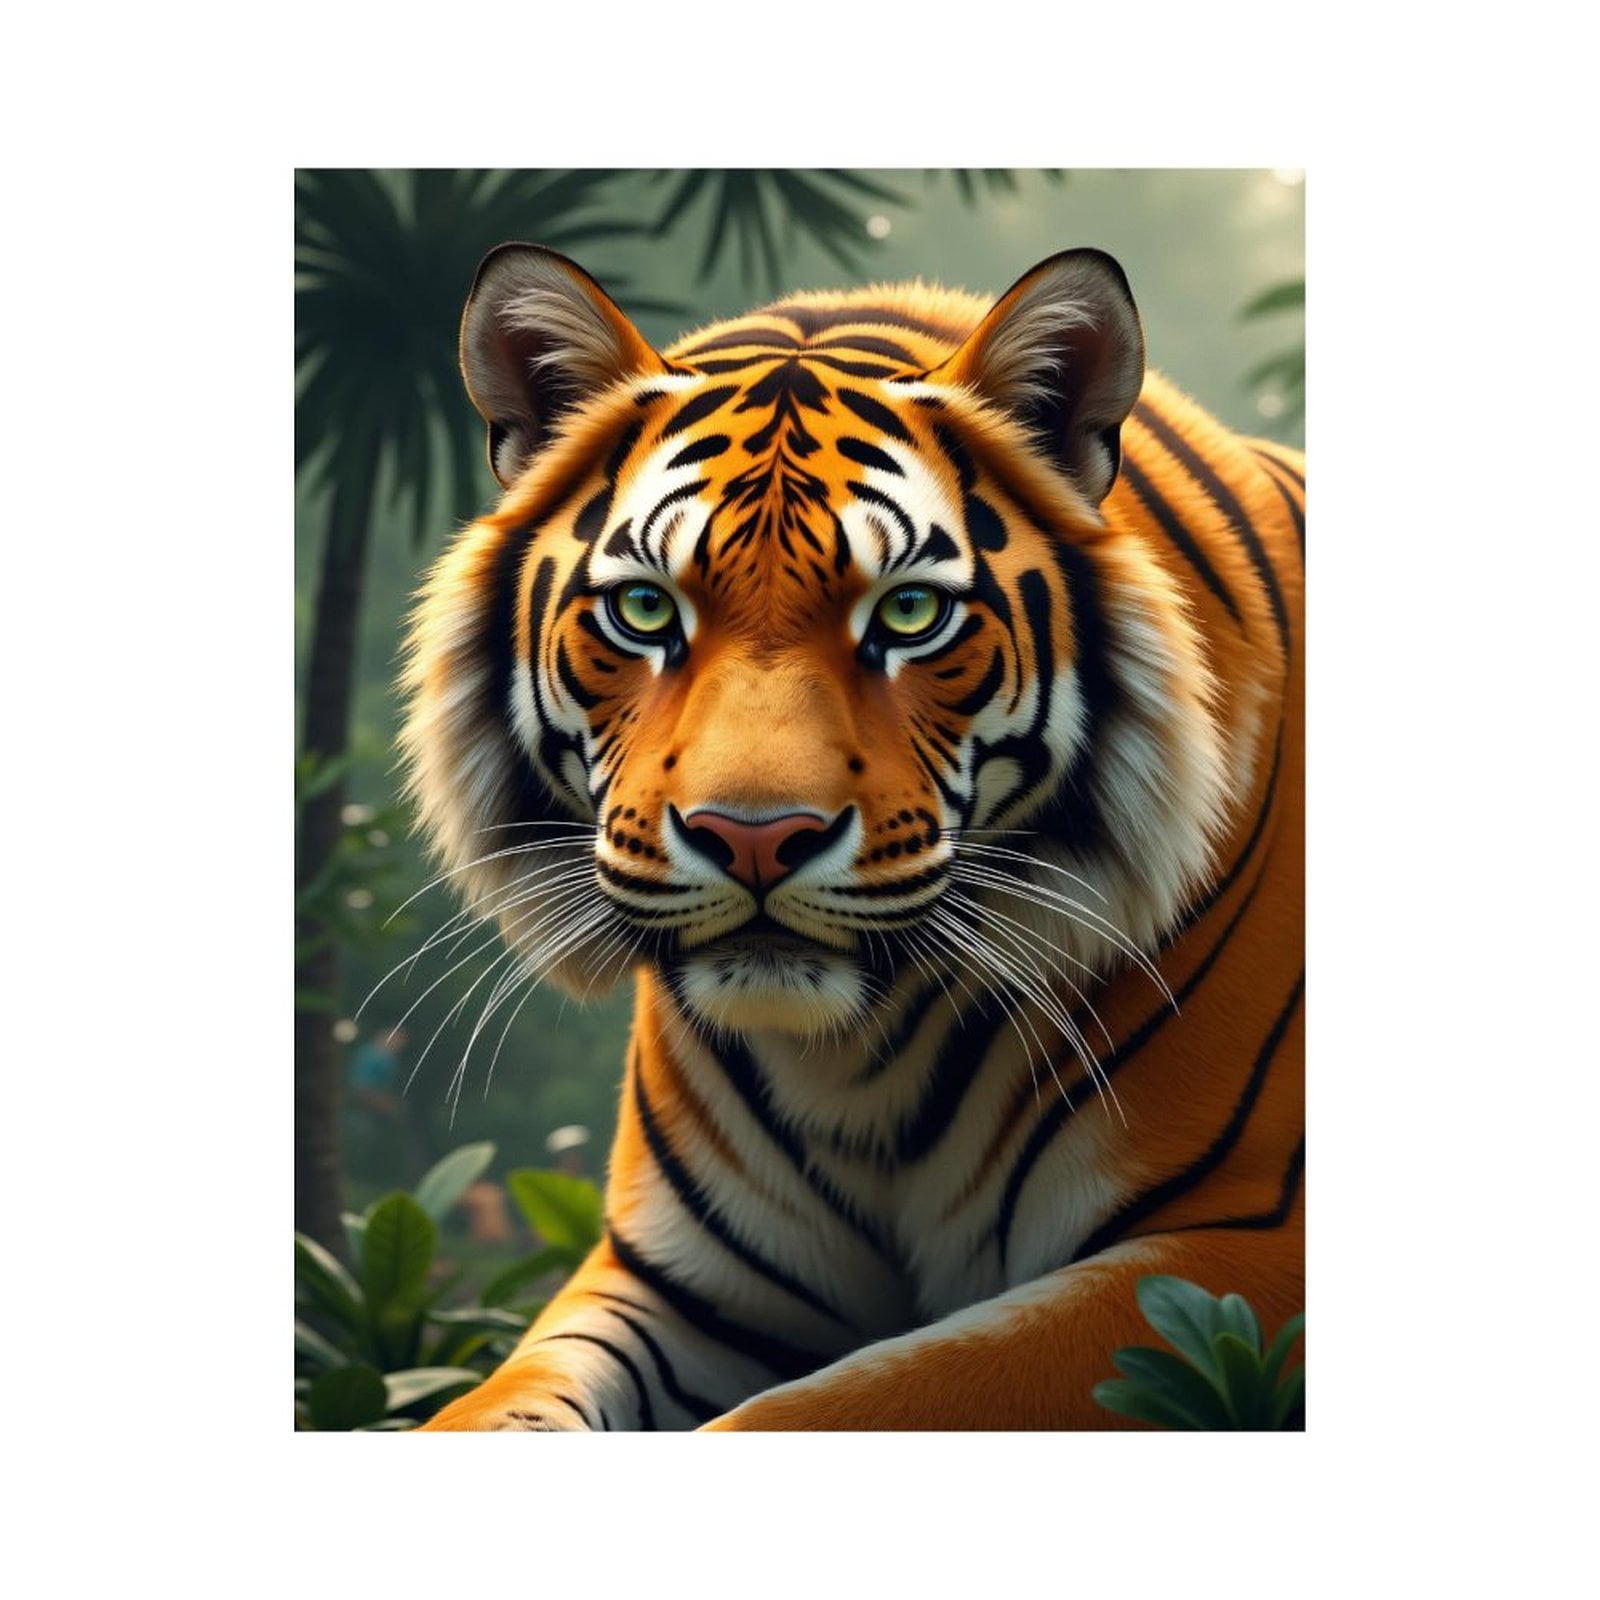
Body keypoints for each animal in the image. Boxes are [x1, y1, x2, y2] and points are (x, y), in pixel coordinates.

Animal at [400, 241, 1304, 1430]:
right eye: (645, 611)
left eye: (910, 614)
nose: (753, 837)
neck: (855, 1062)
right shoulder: (676, 1286)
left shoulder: (1235, 1248)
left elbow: (829, 1405)